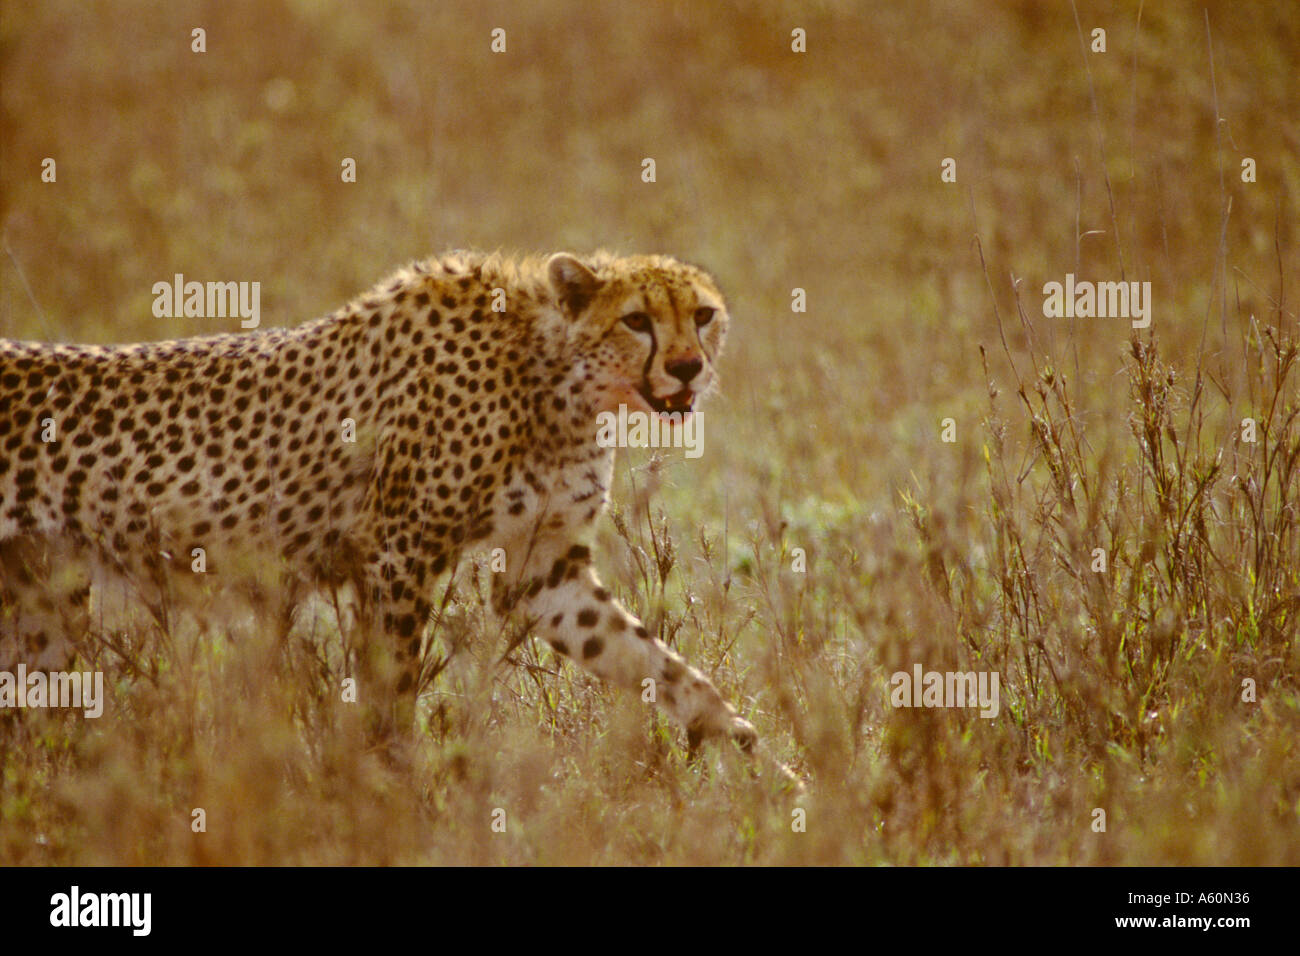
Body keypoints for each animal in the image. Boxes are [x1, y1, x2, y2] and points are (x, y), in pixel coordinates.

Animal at [0, 250, 791, 780]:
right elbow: (391, 694)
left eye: (702, 315)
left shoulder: (544, 573)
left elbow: (669, 670)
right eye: (636, 320)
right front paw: (392, 795)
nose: (687, 367)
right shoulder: (396, 552)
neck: (556, 377)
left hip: (44, 606)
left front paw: (768, 772)